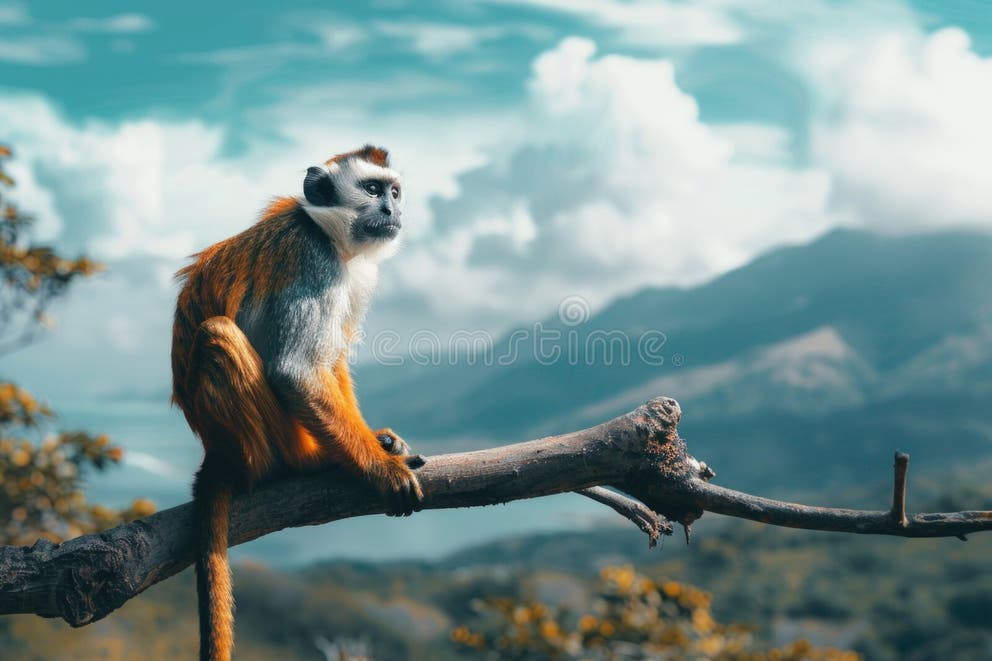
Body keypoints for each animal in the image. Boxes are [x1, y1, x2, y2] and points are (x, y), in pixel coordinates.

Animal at [171, 145, 425, 661]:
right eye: (372, 189)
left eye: (394, 191)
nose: (393, 210)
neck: (328, 234)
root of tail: (217, 448)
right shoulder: (312, 261)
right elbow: (296, 370)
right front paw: (379, 467)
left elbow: (332, 358)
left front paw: (379, 443)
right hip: (270, 440)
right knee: (218, 336)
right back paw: (305, 463)